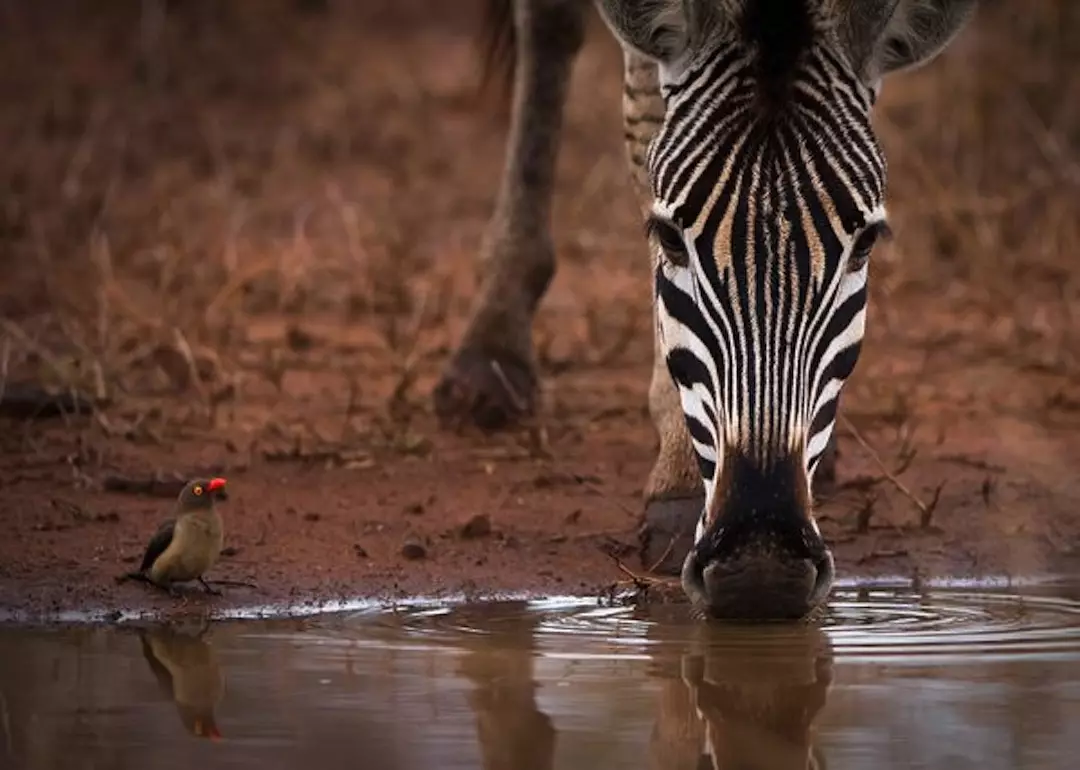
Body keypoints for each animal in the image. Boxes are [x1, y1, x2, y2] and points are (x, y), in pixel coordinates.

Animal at [429, 0, 980, 617]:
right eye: (668, 236)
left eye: (866, 243)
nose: (762, 568)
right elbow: (646, 117)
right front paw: (680, 479)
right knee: (550, 25)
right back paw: (492, 350)